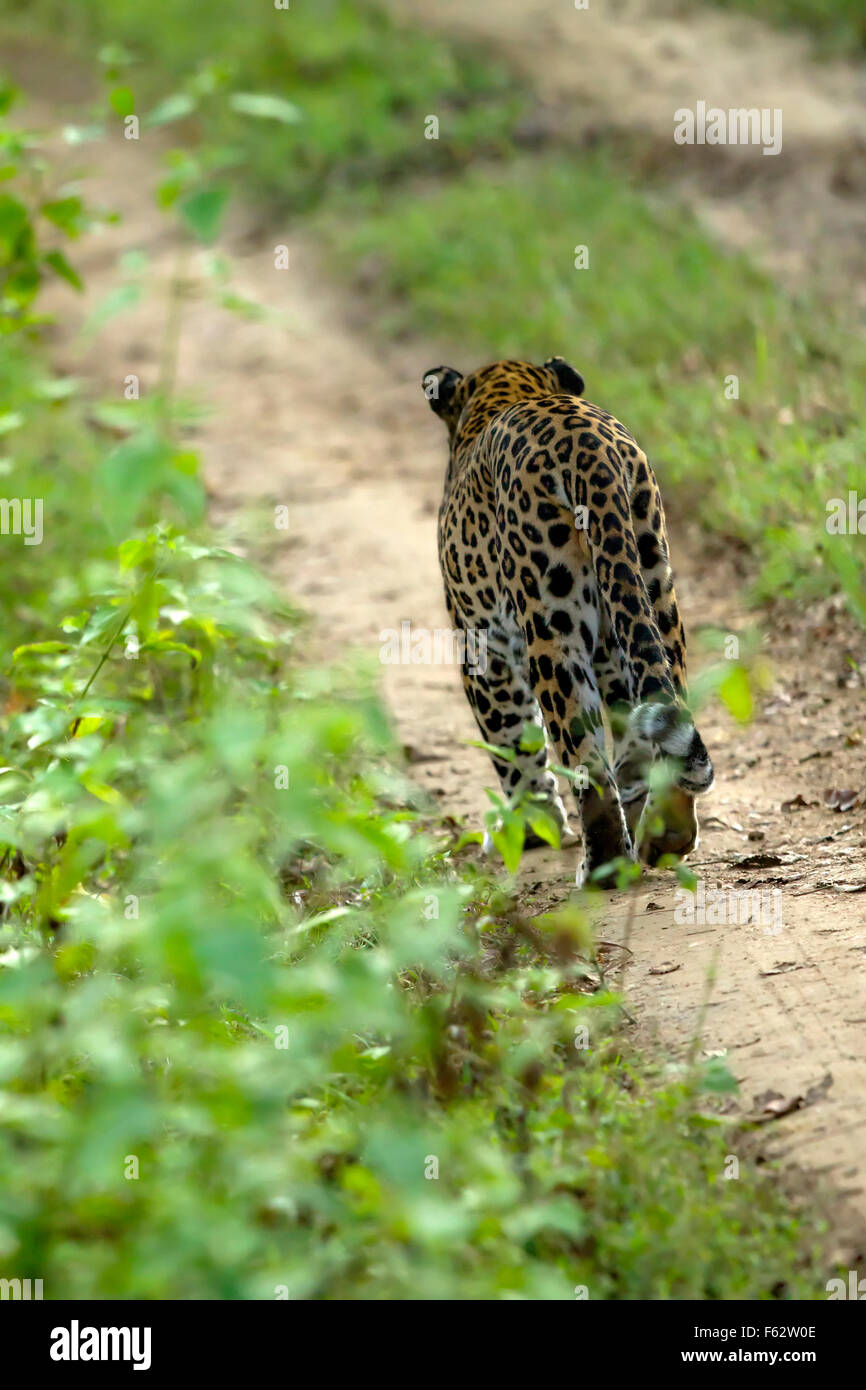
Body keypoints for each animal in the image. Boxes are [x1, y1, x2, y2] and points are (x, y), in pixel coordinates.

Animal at [422, 355, 714, 888]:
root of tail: (586, 443)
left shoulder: (482, 650)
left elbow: (513, 742)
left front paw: (532, 827)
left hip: (550, 623)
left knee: (584, 755)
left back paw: (603, 865)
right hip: (652, 587)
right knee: (666, 705)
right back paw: (665, 834)